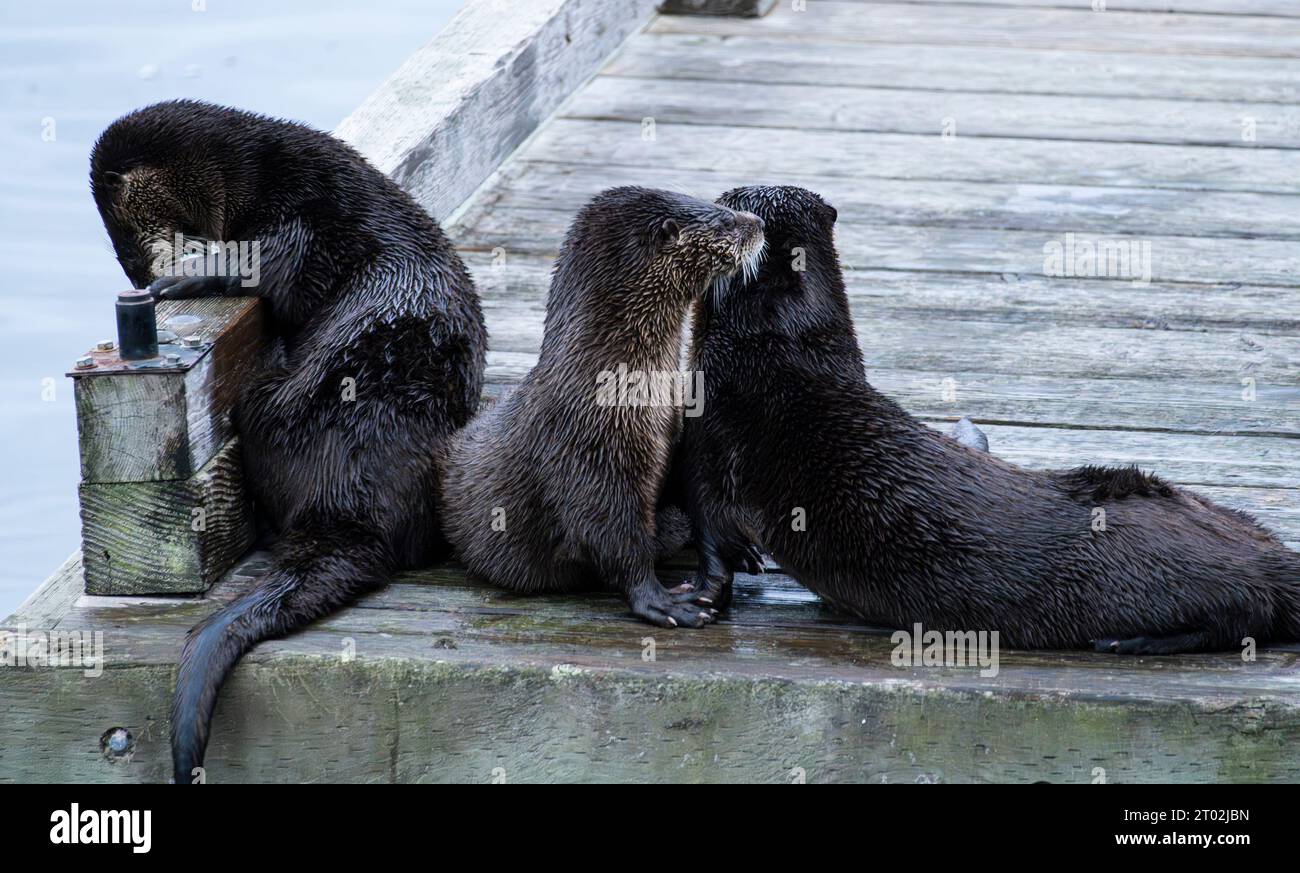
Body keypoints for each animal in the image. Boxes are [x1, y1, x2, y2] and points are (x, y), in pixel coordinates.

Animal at [90, 100, 487, 782]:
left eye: (136, 248)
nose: (144, 277)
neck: (255, 174)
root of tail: (352, 506)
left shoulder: (305, 211)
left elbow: (268, 258)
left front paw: (185, 281)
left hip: (281, 404)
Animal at [440, 187, 765, 628]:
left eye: (721, 207)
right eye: (726, 221)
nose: (759, 224)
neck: (616, 385)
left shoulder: (670, 433)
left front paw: (734, 544)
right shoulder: (589, 458)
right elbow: (613, 542)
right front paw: (665, 603)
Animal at [676, 184, 1300, 654]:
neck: (777, 340)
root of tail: (1269, 562)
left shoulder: (716, 432)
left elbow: (712, 529)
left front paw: (699, 597)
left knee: (1242, 612)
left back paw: (1137, 642)